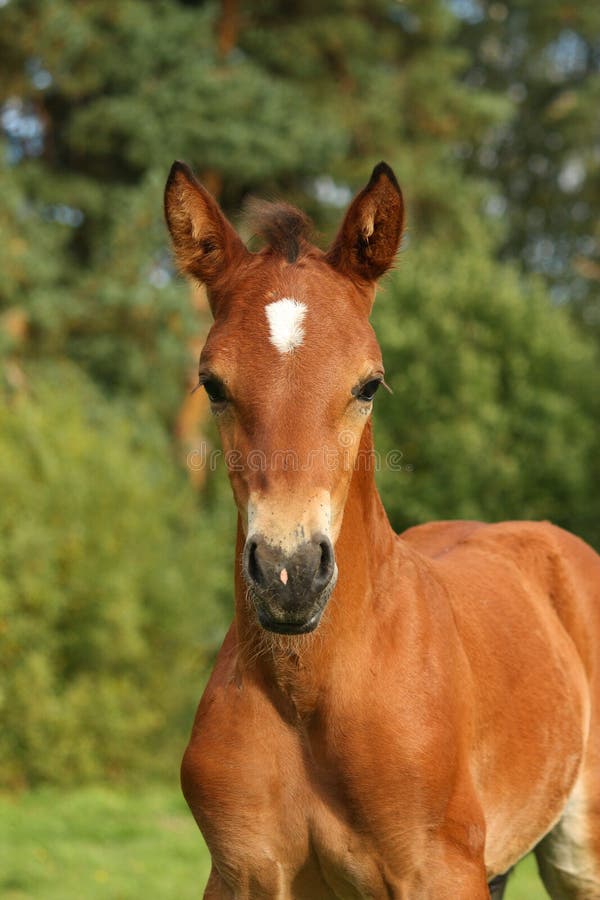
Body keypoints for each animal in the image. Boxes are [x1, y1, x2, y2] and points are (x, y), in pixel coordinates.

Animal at [164, 160, 600, 899]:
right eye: (213, 384)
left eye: (369, 384)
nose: (288, 576)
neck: (307, 699)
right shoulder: (242, 872)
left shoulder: (440, 871)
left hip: (579, 850)